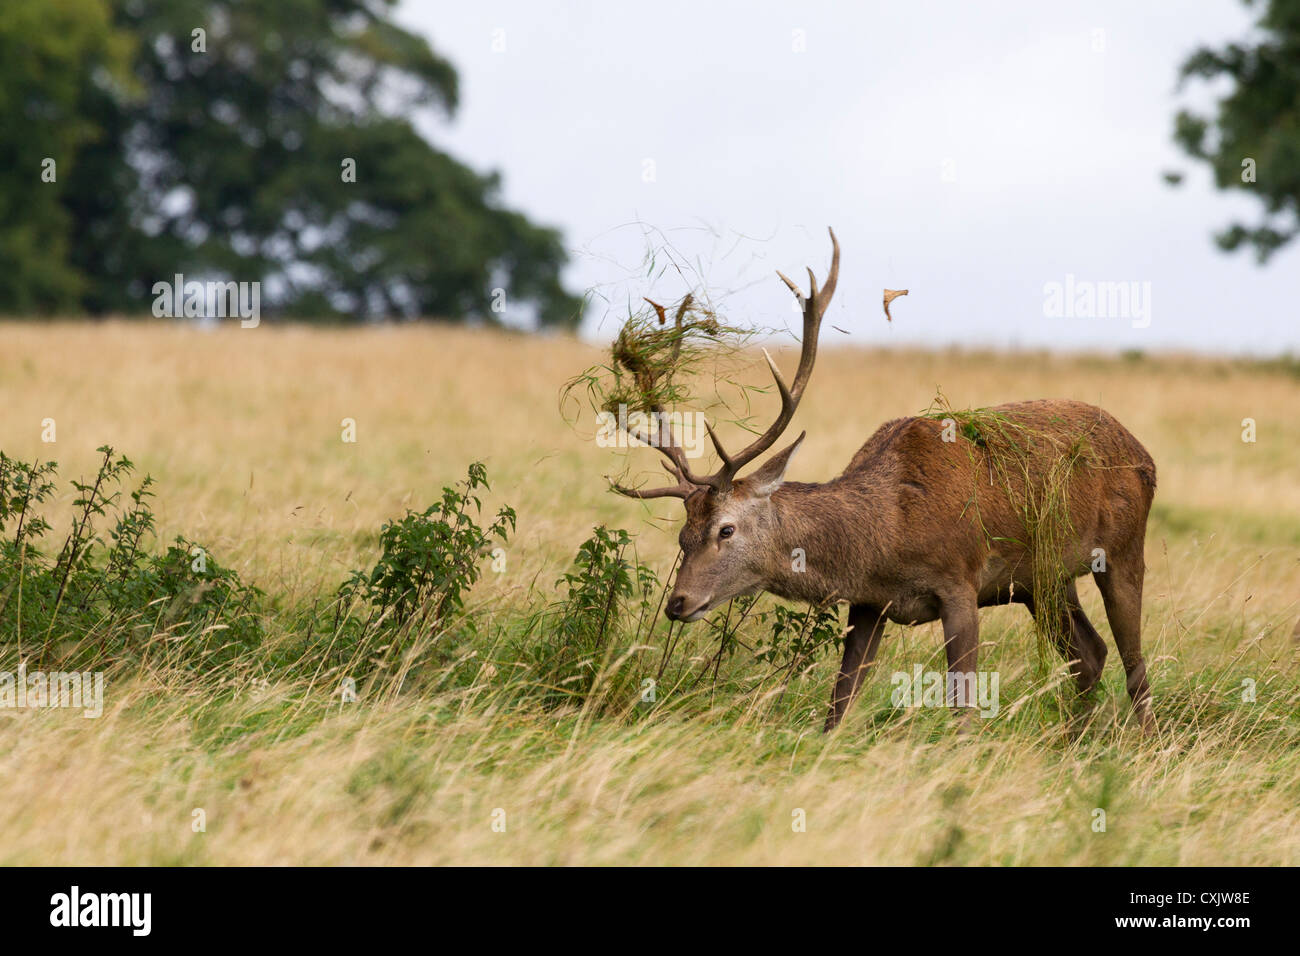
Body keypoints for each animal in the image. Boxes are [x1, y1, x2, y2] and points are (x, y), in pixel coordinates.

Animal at [608, 228, 1158, 734]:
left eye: (726, 528)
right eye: (682, 536)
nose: (678, 603)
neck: (886, 535)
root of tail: (1144, 453)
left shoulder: (961, 579)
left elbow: (963, 709)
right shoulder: (869, 602)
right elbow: (839, 703)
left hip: (1124, 547)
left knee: (1134, 665)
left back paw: (1141, 746)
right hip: (1042, 580)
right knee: (1089, 654)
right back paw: (1074, 741)